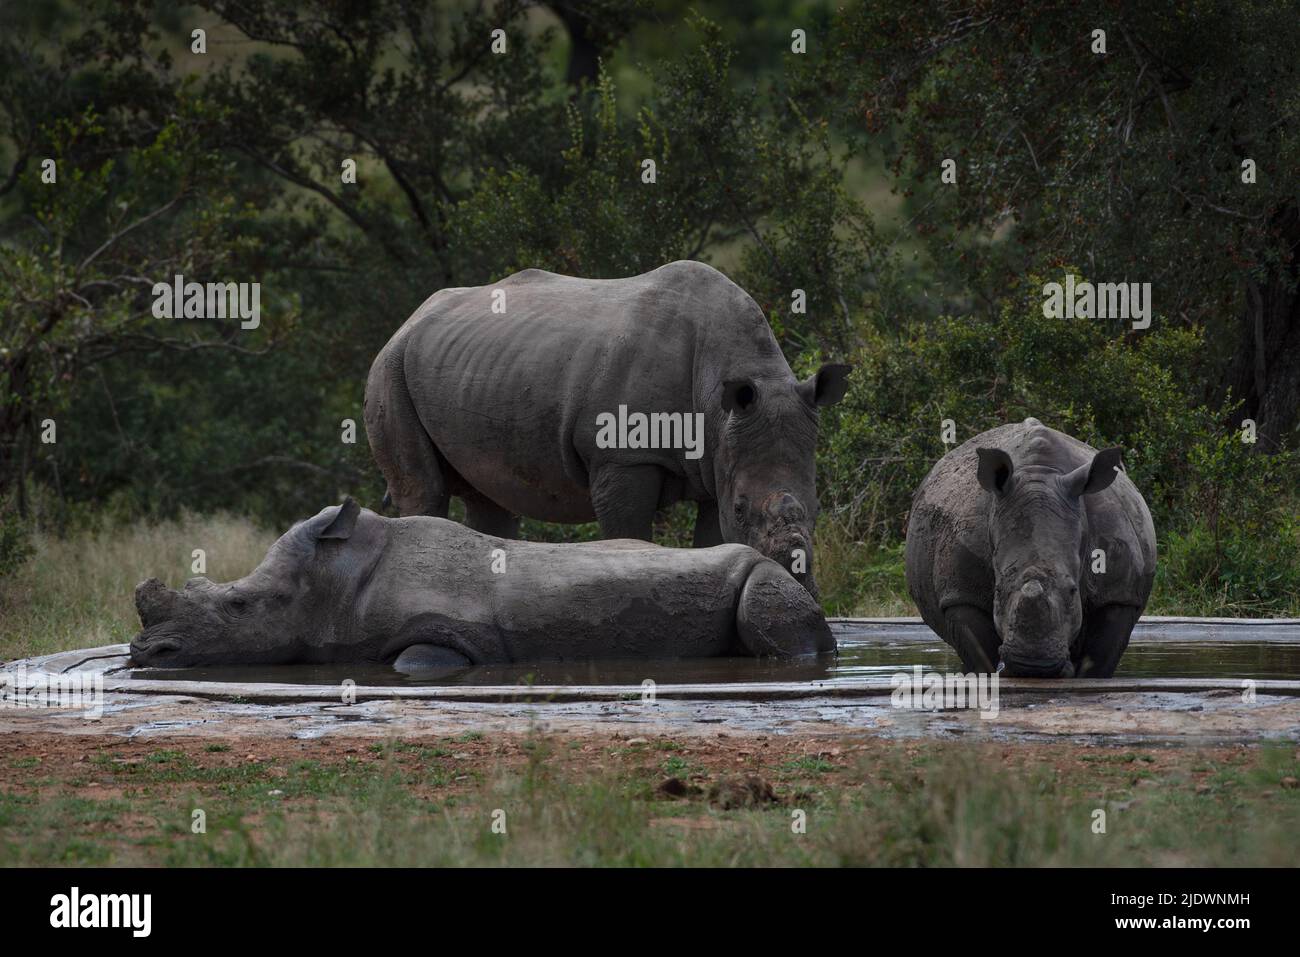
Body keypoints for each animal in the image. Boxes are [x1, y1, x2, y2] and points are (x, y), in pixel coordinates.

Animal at [364, 260, 851, 597]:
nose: (796, 583)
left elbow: (712, 540)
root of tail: (409, 318)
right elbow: (629, 533)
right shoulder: (624, 458)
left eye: (819, 507)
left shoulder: (717, 460)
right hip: (390, 367)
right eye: (742, 510)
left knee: (491, 501)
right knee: (425, 490)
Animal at [904, 419, 1156, 678]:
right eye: (997, 591)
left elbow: (1097, 661)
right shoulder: (960, 594)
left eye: (1073, 591)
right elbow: (981, 656)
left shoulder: (1119, 593)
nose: (1033, 667)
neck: (1040, 472)